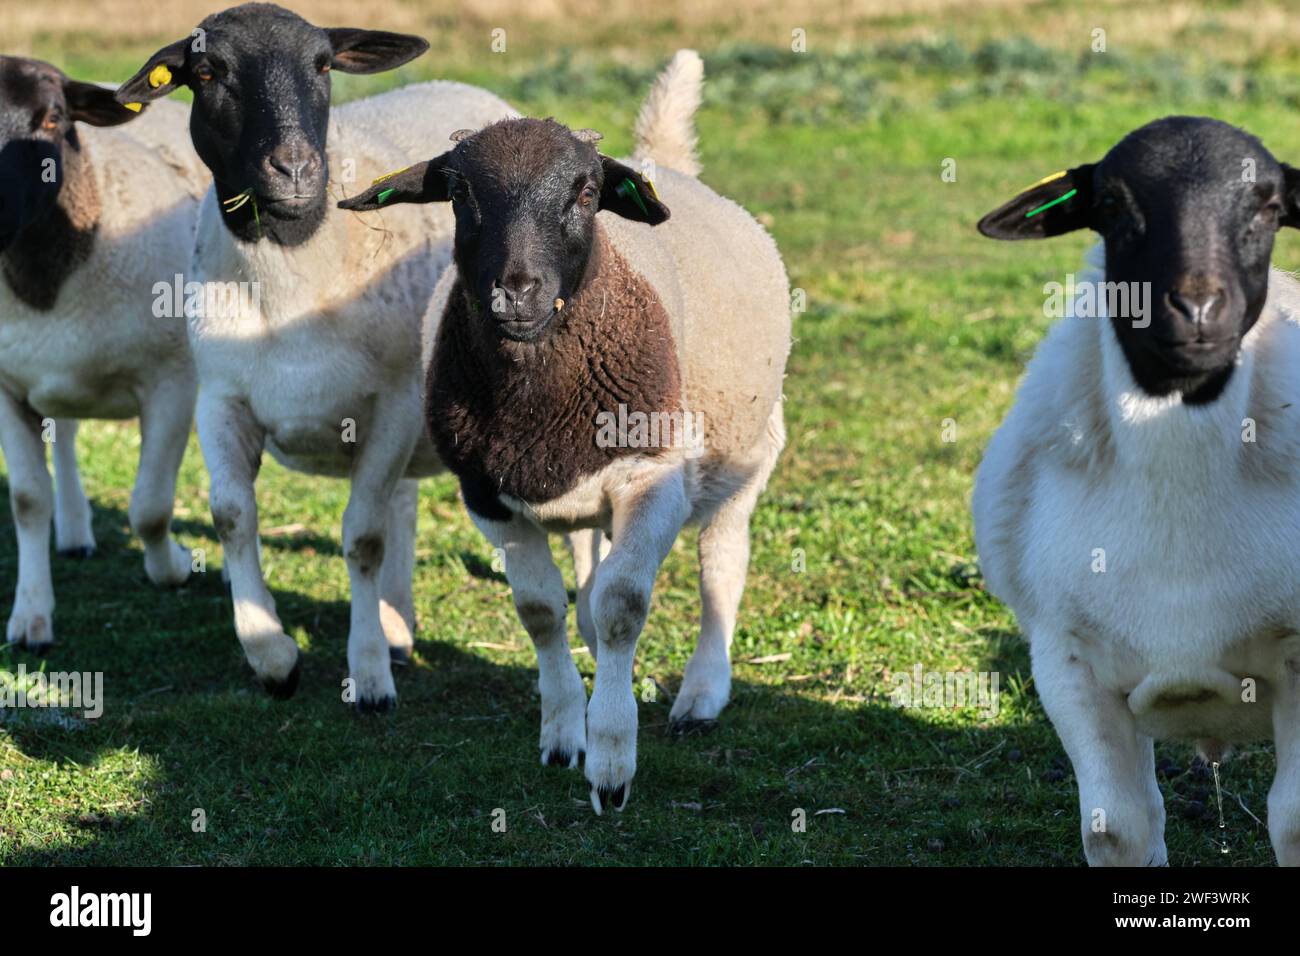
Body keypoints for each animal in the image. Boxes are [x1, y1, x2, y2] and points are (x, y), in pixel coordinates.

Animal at [0, 55, 208, 651]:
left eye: (53, 118)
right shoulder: (8, 387)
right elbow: (28, 499)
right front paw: (31, 617)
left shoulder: (171, 380)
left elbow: (151, 509)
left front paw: (175, 568)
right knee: (66, 434)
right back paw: (73, 531)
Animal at [115, 2, 517, 707]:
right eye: (208, 72)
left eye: (324, 65)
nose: (297, 170)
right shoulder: (221, 399)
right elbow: (230, 517)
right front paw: (273, 655)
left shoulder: (391, 407)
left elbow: (362, 537)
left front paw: (370, 673)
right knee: (403, 502)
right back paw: (397, 624)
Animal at [339, 50, 791, 813]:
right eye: (458, 190)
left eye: (585, 192)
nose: (516, 290)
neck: (538, 398)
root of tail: (661, 161)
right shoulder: (488, 497)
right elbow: (539, 610)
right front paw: (561, 732)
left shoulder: (653, 479)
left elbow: (621, 607)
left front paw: (610, 760)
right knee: (593, 553)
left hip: (746, 458)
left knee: (721, 568)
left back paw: (702, 693)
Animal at [973, 115, 1300, 866]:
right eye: (1111, 205)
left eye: (1270, 208)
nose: (1198, 307)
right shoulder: (1066, 663)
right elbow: (1116, 828)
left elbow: (1295, 819)